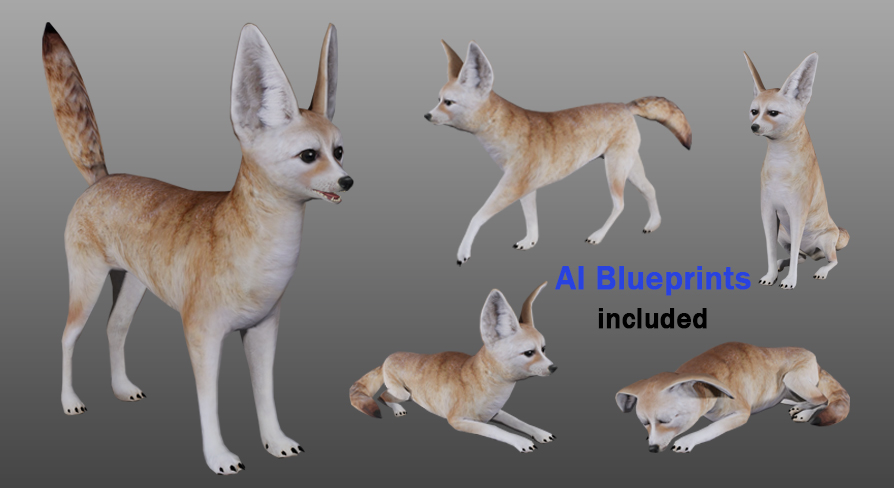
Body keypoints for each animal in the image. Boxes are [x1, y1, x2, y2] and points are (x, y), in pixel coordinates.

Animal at [42, 22, 352, 475]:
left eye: (339, 152)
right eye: (309, 155)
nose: (348, 181)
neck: (258, 253)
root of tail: (102, 178)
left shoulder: (263, 329)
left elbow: (265, 395)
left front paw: (275, 441)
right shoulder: (201, 334)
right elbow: (210, 403)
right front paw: (219, 456)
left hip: (132, 284)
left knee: (114, 328)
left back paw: (122, 388)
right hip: (87, 282)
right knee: (68, 336)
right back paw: (69, 401)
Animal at [350, 282, 557, 453]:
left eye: (543, 349)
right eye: (529, 353)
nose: (554, 367)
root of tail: (388, 356)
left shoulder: (495, 412)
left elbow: (518, 421)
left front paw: (538, 432)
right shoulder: (457, 420)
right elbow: (495, 429)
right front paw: (521, 441)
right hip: (404, 393)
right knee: (382, 396)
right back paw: (397, 408)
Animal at [425, 40, 692, 265]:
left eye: (448, 102)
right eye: (438, 99)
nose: (426, 115)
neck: (503, 131)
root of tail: (625, 106)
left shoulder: (512, 185)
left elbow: (476, 217)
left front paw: (463, 251)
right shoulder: (526, 187)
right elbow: (531, 220)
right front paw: (530, 242)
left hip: (615, 170)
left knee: (620, 204)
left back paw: (598, 235)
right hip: (629, 167)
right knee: (650, 189)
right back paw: (653, 223)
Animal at [616, 342, 849, 454]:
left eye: (666, 420)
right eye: (645, 423)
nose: (653, 449)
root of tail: (816, 360)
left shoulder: (741, 414)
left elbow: (712, 428)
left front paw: (687, 440)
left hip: (792, 378)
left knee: (823, 400)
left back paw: (806, 413)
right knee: (809, 398)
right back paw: (796, 405)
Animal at [744, 52, 848, 289]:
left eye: (773, 112)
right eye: (754, 112)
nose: (754, 127)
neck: (780, 161)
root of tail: (813, 253)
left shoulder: (797, 214)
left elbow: (794, 258)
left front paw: (790, 281)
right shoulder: (768, 213)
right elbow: (770, 251)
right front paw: (771, 275)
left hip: (826, 240)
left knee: (832, 260)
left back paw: (821, 270)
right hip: (785, 235)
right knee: (798, 256)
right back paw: (782, 264)